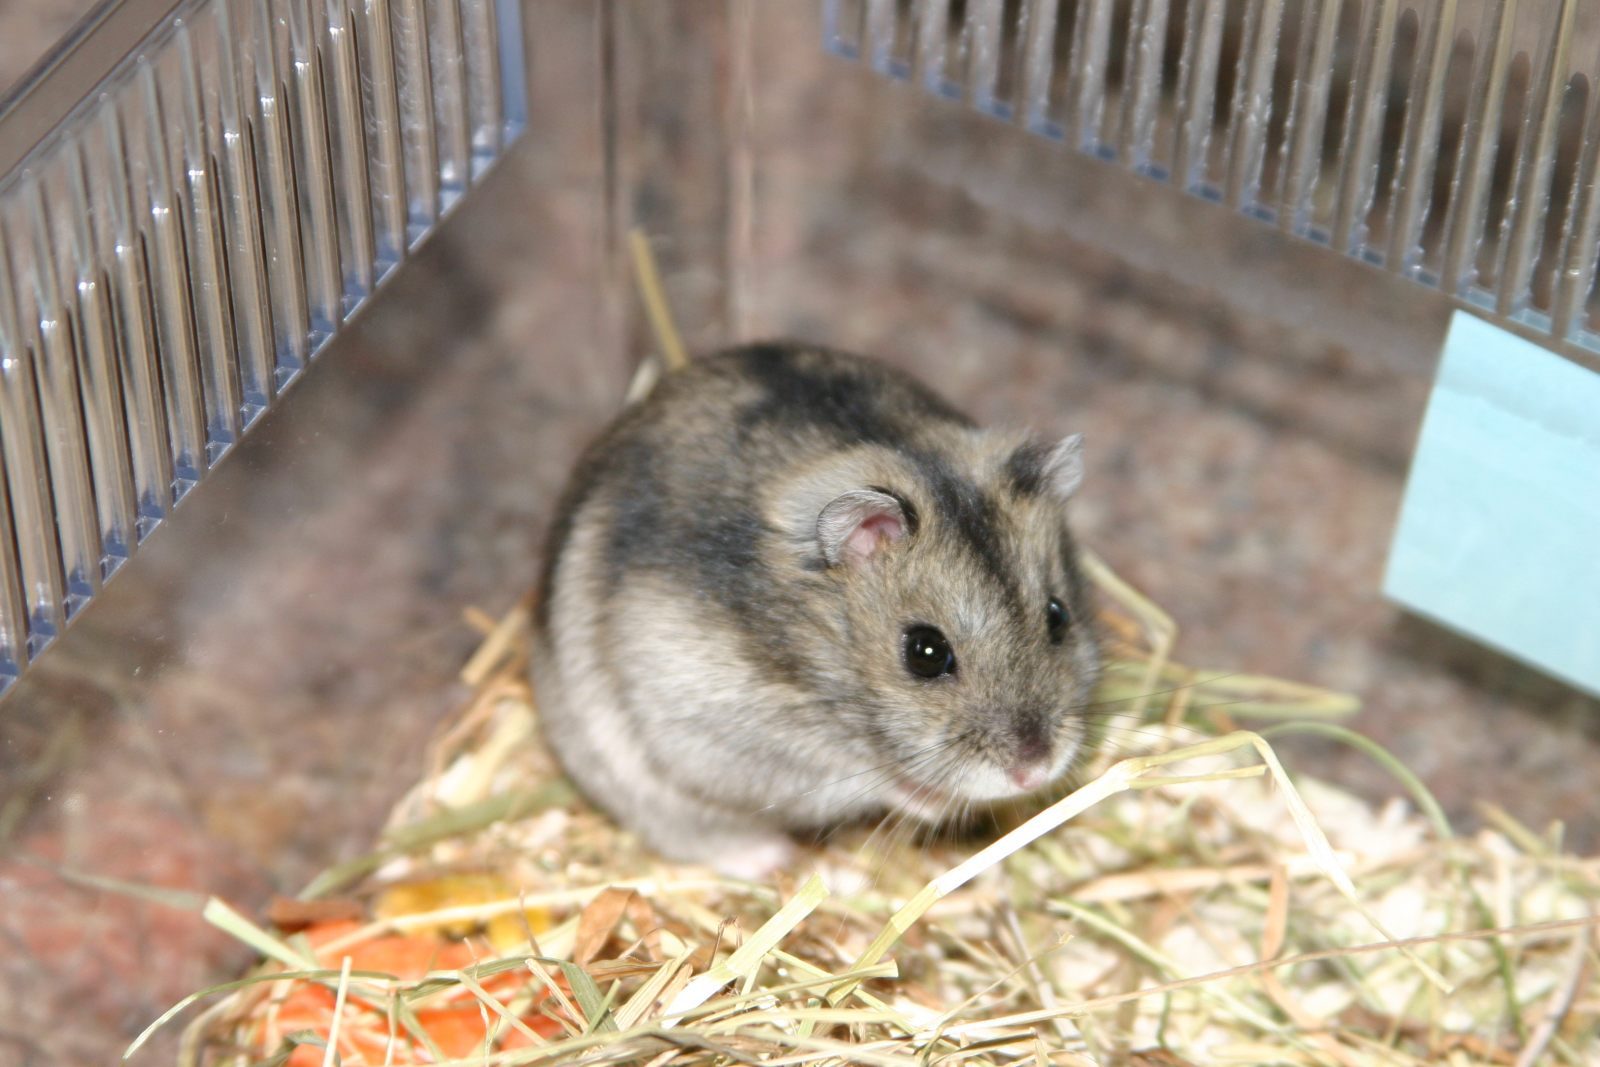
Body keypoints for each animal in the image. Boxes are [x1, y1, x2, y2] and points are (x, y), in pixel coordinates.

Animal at [531, 342, 1101, 877]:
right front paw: (935, 803)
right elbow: (871, 778)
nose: (1034, 771)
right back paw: (770, 858)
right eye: (925, 653)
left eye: (1058, 616)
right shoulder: (735, 736)